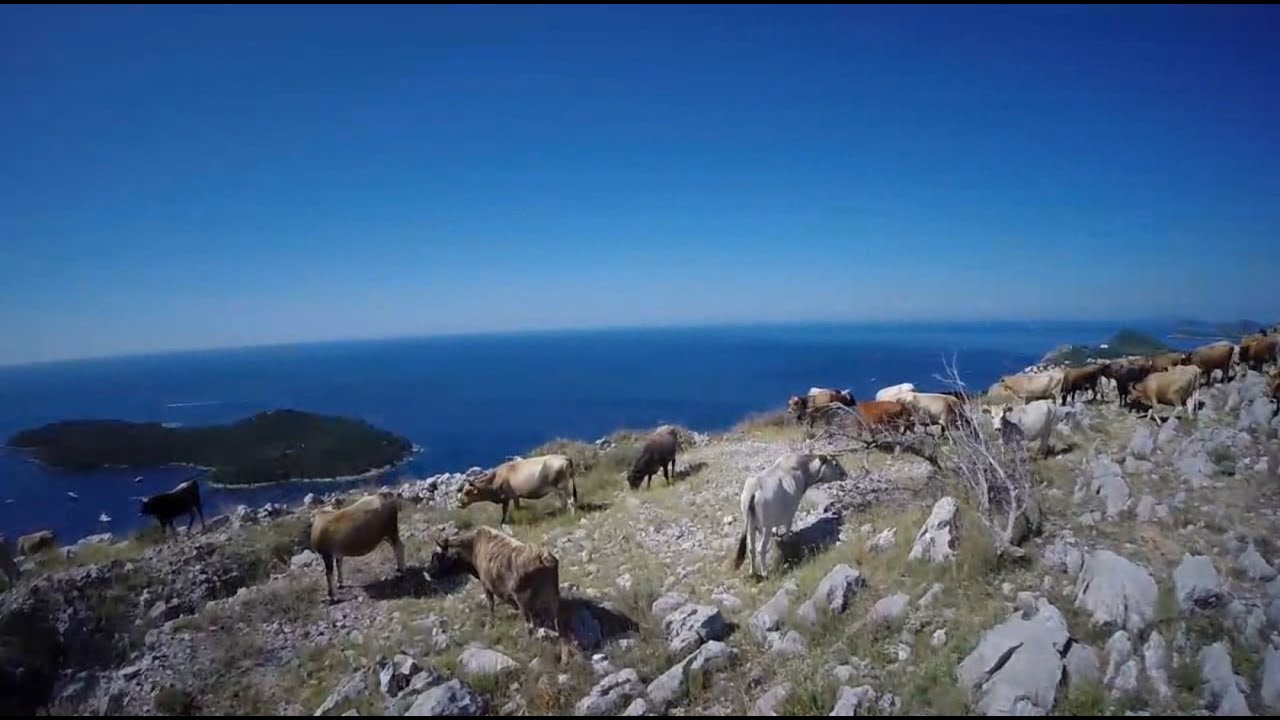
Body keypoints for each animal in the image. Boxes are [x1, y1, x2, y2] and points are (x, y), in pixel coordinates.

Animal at [425, 525, 572, 664]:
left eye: (437, 557)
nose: (428, 572)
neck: (474, 546)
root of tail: (543, 557)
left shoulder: (486, 584)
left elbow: (491, 605)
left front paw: (489, 625)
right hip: (553, 597)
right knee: (559, 625)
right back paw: (564, 658)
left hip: (524, 600)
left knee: (530, 625)